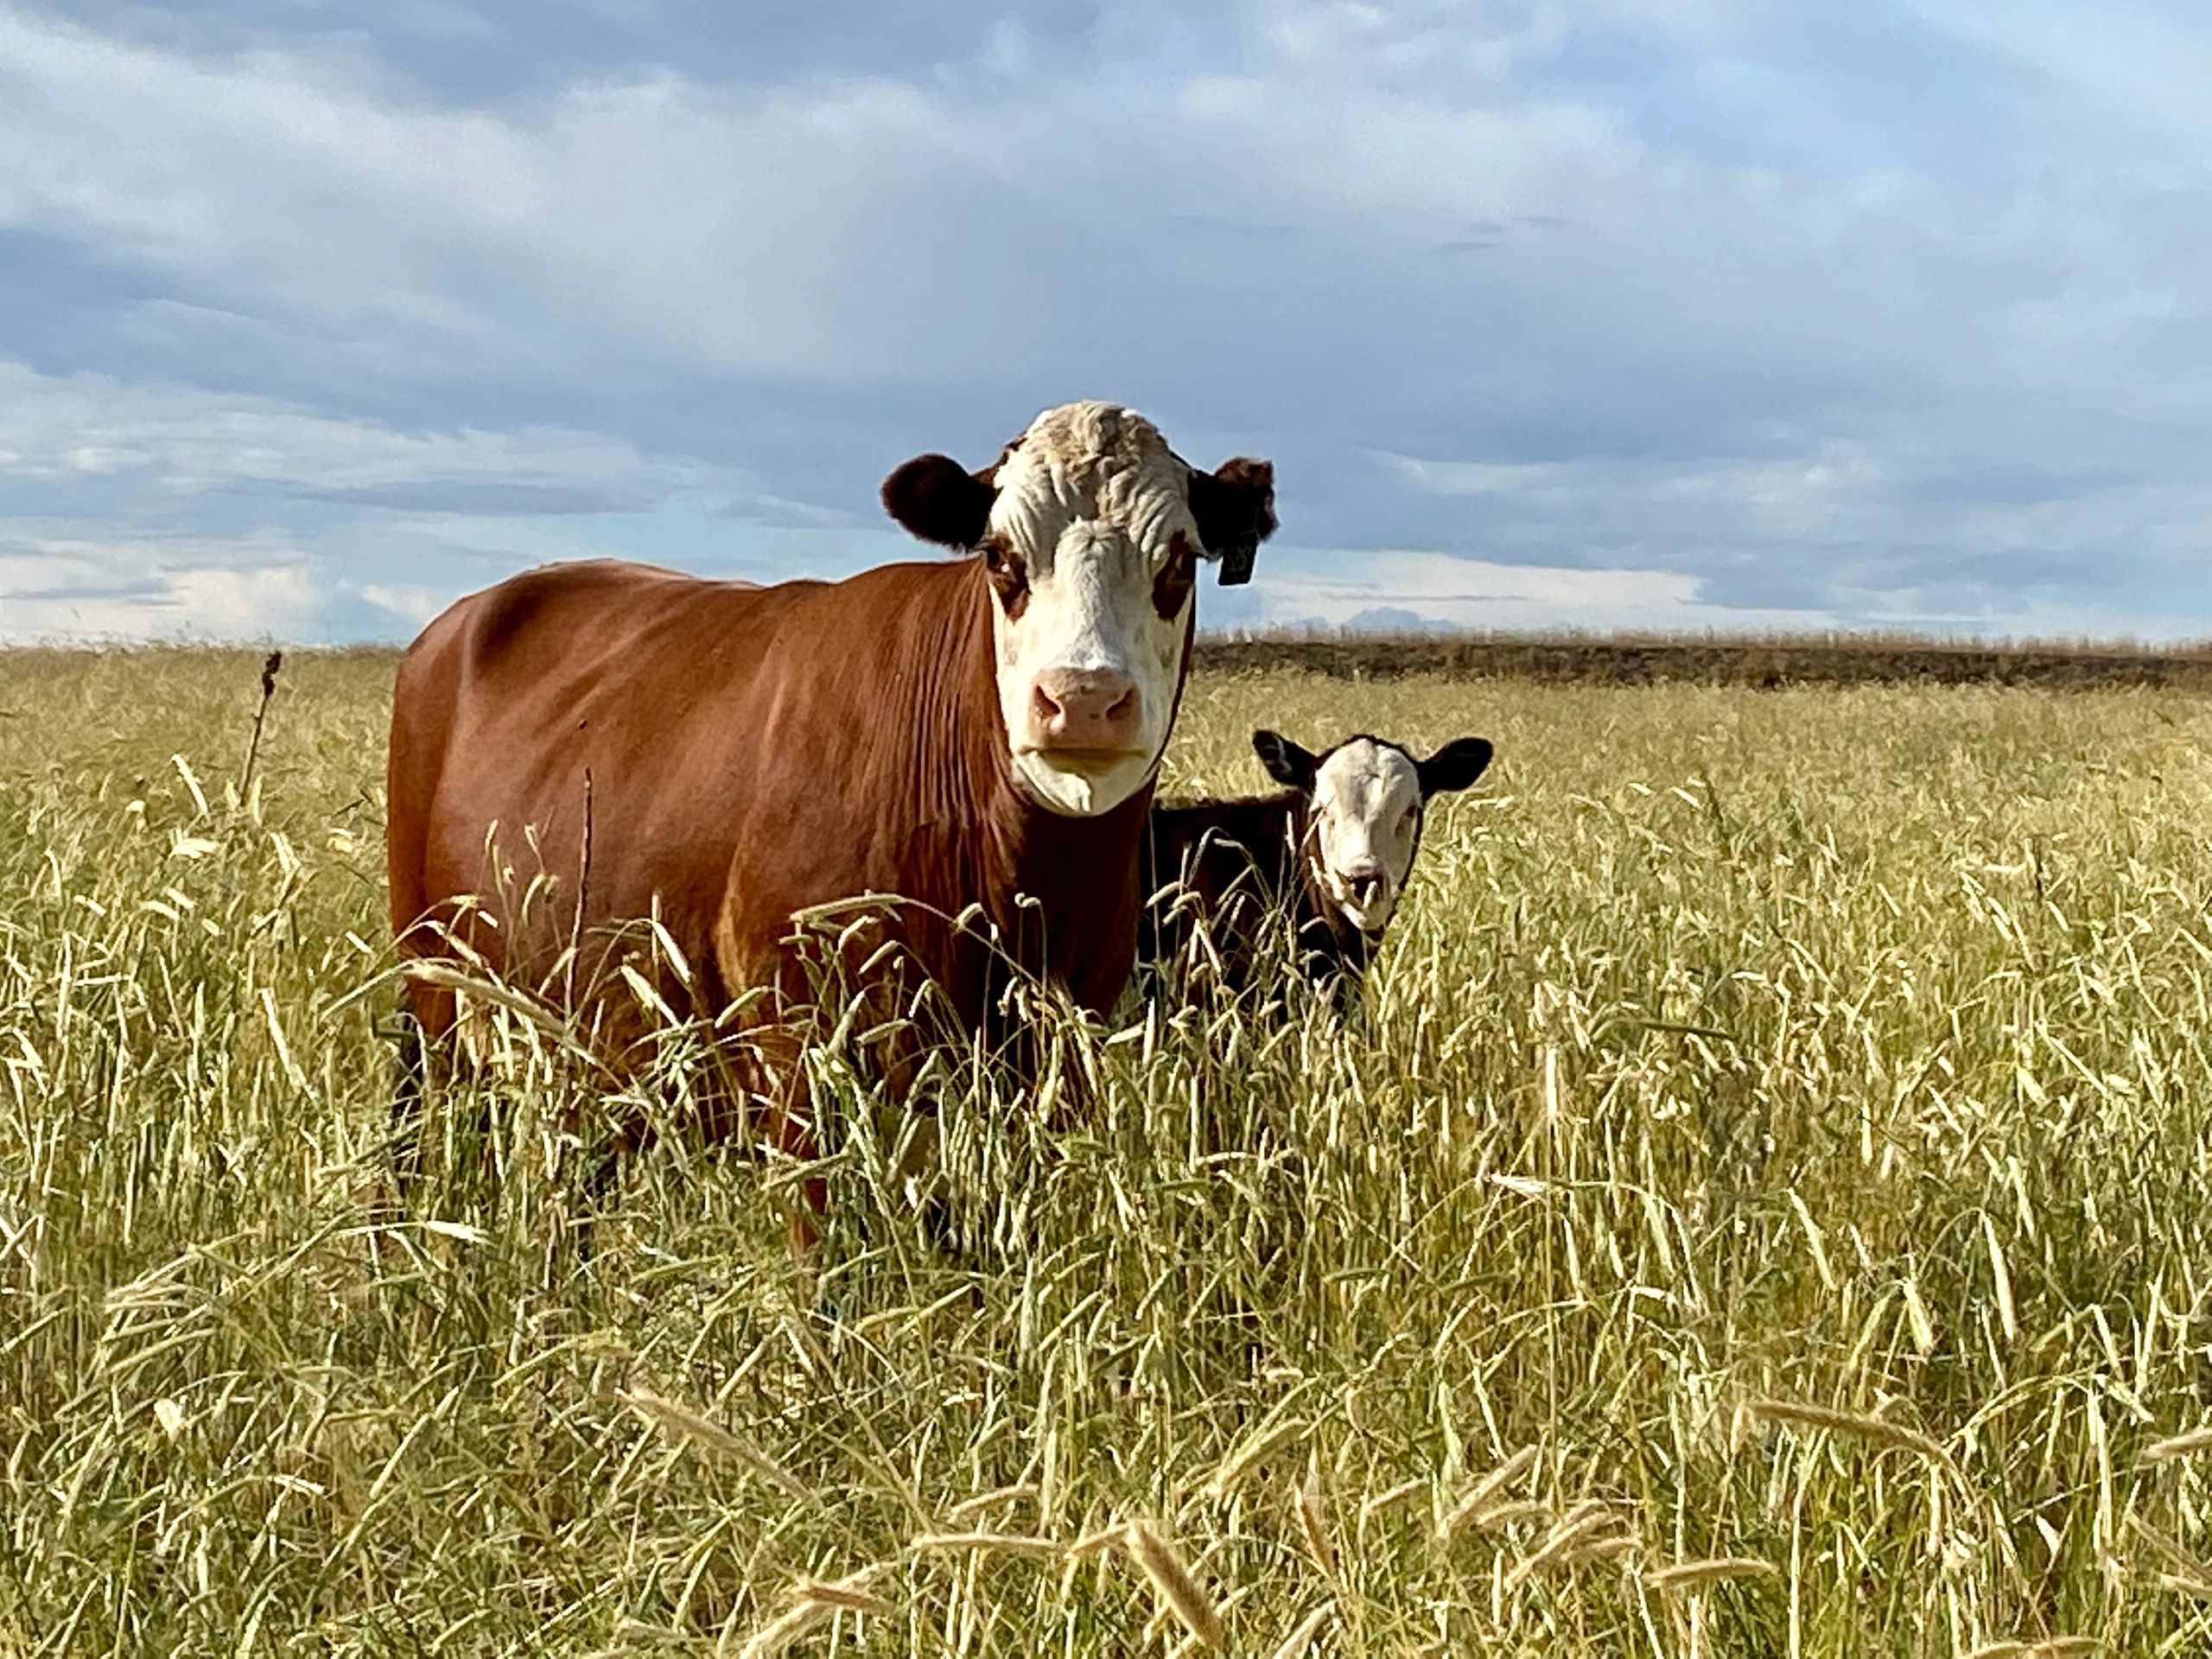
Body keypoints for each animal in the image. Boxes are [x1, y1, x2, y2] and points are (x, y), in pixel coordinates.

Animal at [385, 401, 1277, 1248]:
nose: (1083, 697)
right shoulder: (801, 1054)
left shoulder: (1063, 1046)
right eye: (1000, 557)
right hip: (436, 997)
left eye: (1178, 561)